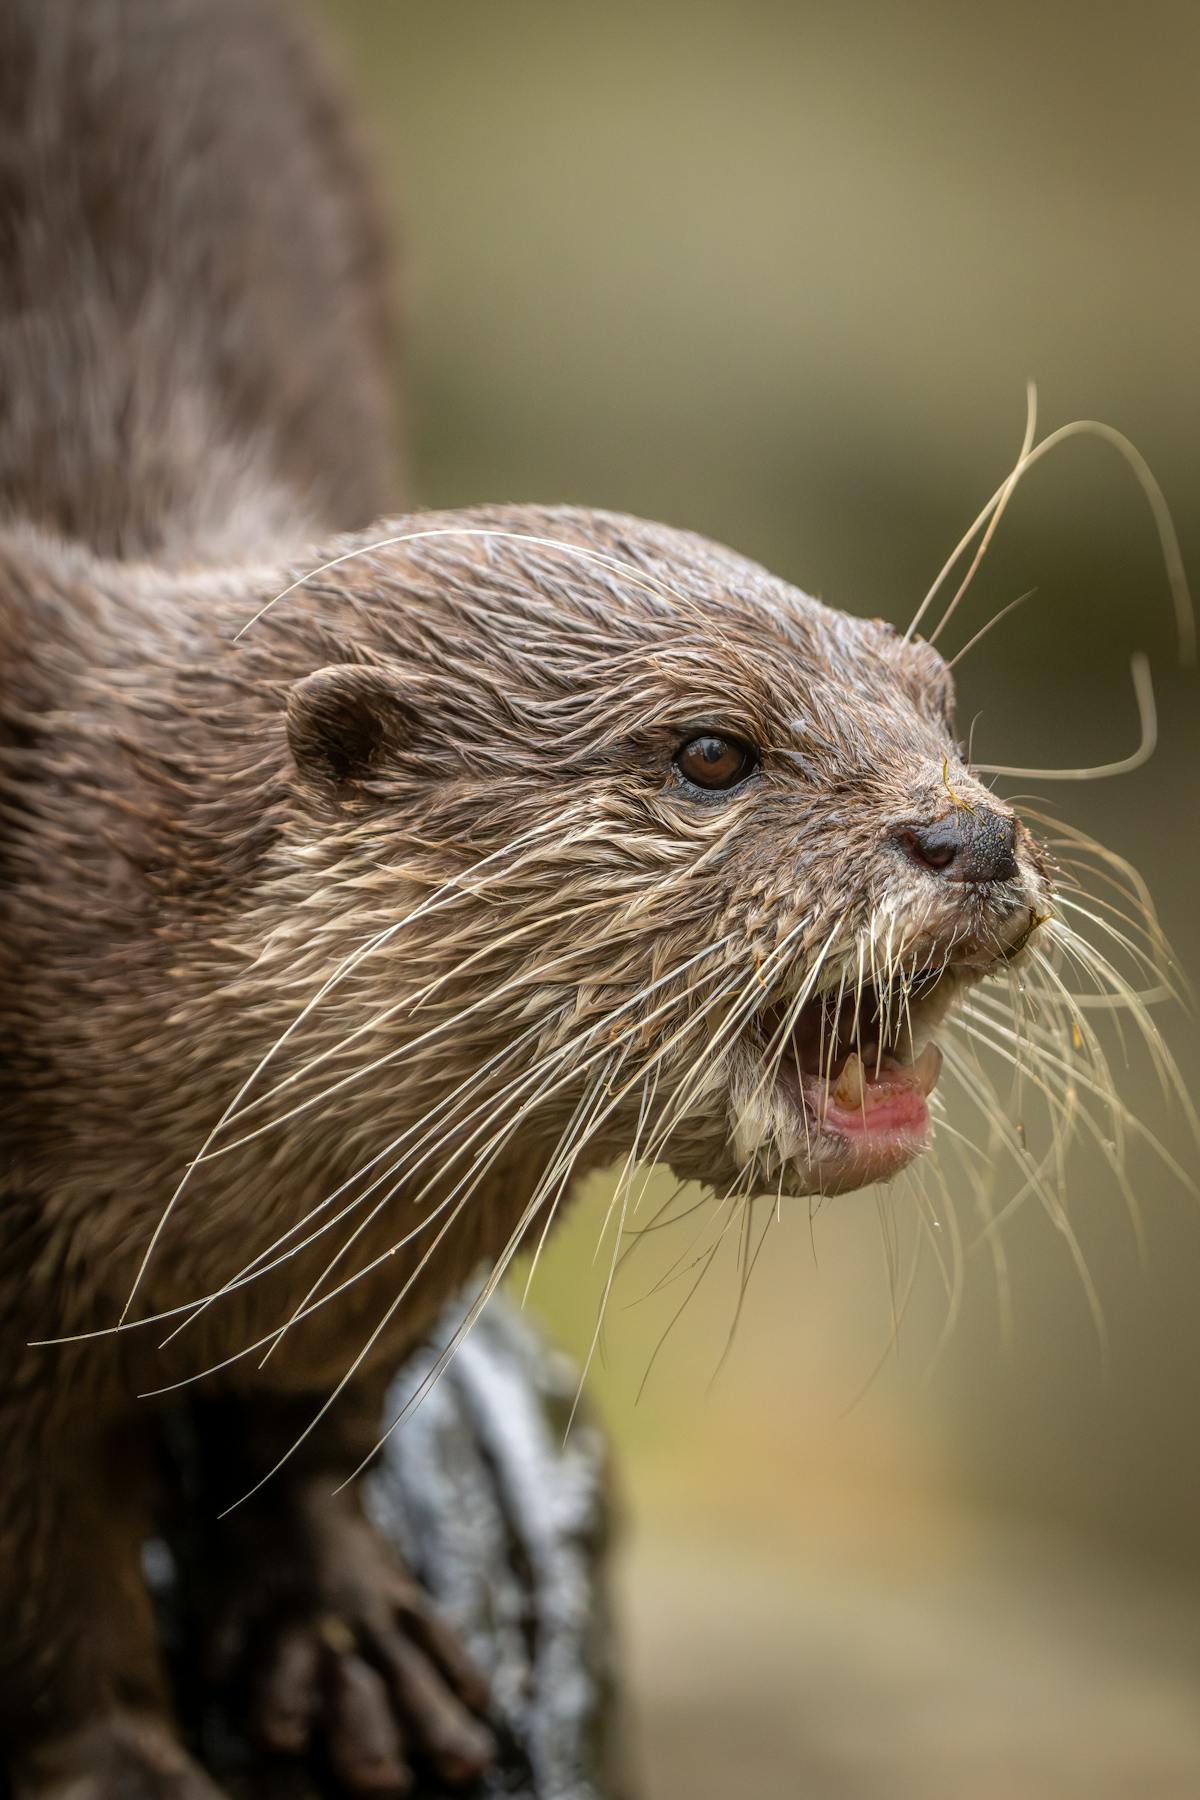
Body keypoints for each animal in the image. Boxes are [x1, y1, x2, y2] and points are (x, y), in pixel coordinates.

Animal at [0, 1, 1080, 1797]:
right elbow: (46, 1576)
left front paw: (338, 1623)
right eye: (711, 752)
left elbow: (312, 1421)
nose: (972, 834)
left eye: (936, 696)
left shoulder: (376, 1268)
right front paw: (119, 1763)